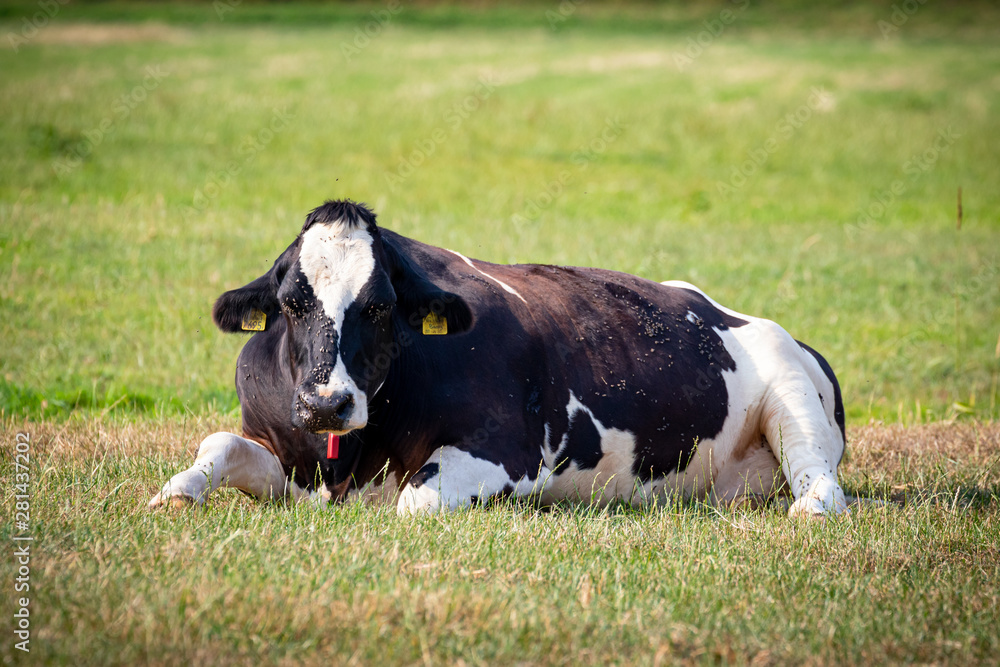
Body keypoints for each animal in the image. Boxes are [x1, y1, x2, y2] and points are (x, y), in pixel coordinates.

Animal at [150, 199, 849, 517]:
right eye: (292, 302)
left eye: (379, 306)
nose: (326, 403)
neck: (349, 464)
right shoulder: (282, 451)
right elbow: (219, 444)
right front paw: (175, 492)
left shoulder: (508, 452)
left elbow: (415, 501)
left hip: (791, 394)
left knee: (820, 479)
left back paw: (811, 508)